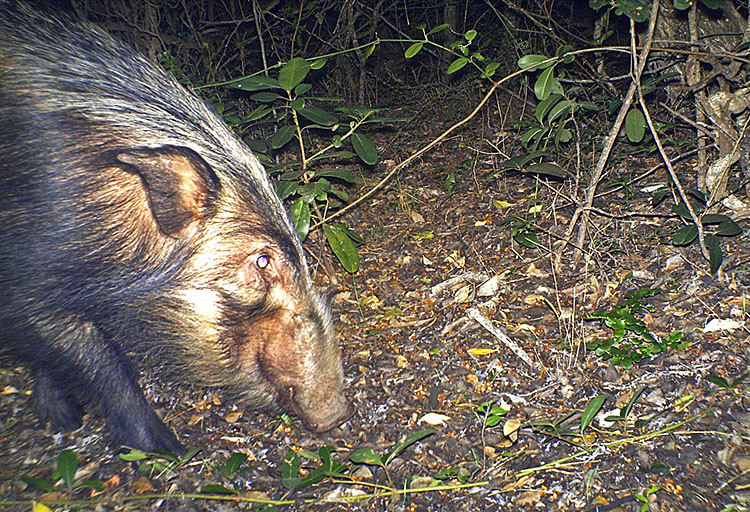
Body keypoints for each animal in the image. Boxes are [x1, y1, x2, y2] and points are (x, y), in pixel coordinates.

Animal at [0, 1, 352, 453]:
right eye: (261, 260)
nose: (337, 414)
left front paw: (64, 419)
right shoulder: (24, 288)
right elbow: (102, 360)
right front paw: (170, 448)